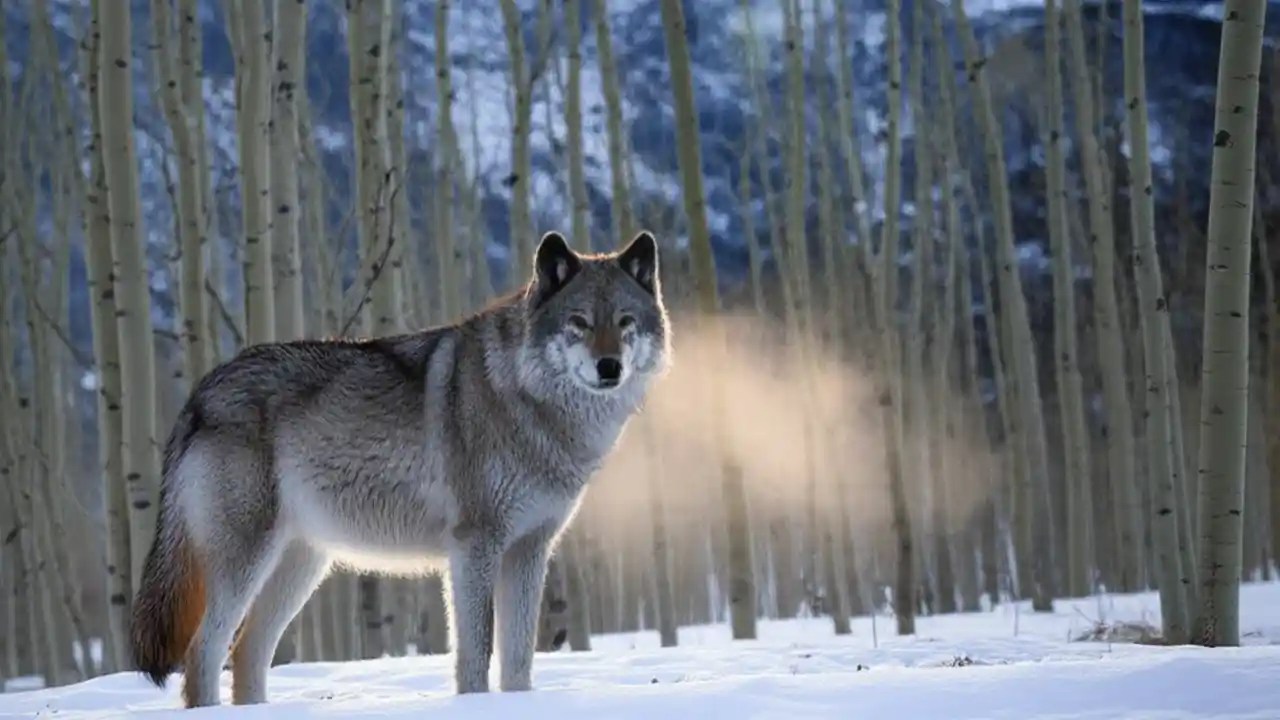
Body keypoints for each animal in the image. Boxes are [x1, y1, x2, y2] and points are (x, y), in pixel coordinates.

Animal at [129, 230, 671, 708]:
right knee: (203, 652)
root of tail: (201, 392)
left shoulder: (529, 551)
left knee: (246, 654)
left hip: (301, 566)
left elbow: (518, 662)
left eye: (625, 321)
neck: (528, 400)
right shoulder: (475, 547)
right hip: (247, 562)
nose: (609, 367)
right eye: (579, 322)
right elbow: (476, 656)